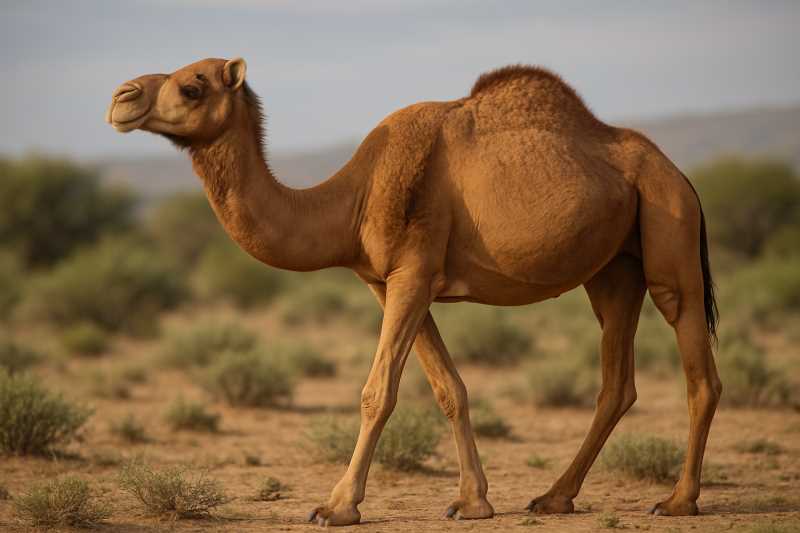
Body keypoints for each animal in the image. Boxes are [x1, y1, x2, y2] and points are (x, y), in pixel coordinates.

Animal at [106, 58, 721, 526]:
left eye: (192, 85)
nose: (121, 96)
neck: (348, 202)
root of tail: (682, 175)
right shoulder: (390, 282)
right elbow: (449, 387)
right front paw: (472, 502)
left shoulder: (412, 275)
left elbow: (377, 392)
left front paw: (336, 508)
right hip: (614, 271)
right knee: (616, 382)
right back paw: (553, 496)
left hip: (669, 230)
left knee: (698, 367)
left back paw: (677, 500)